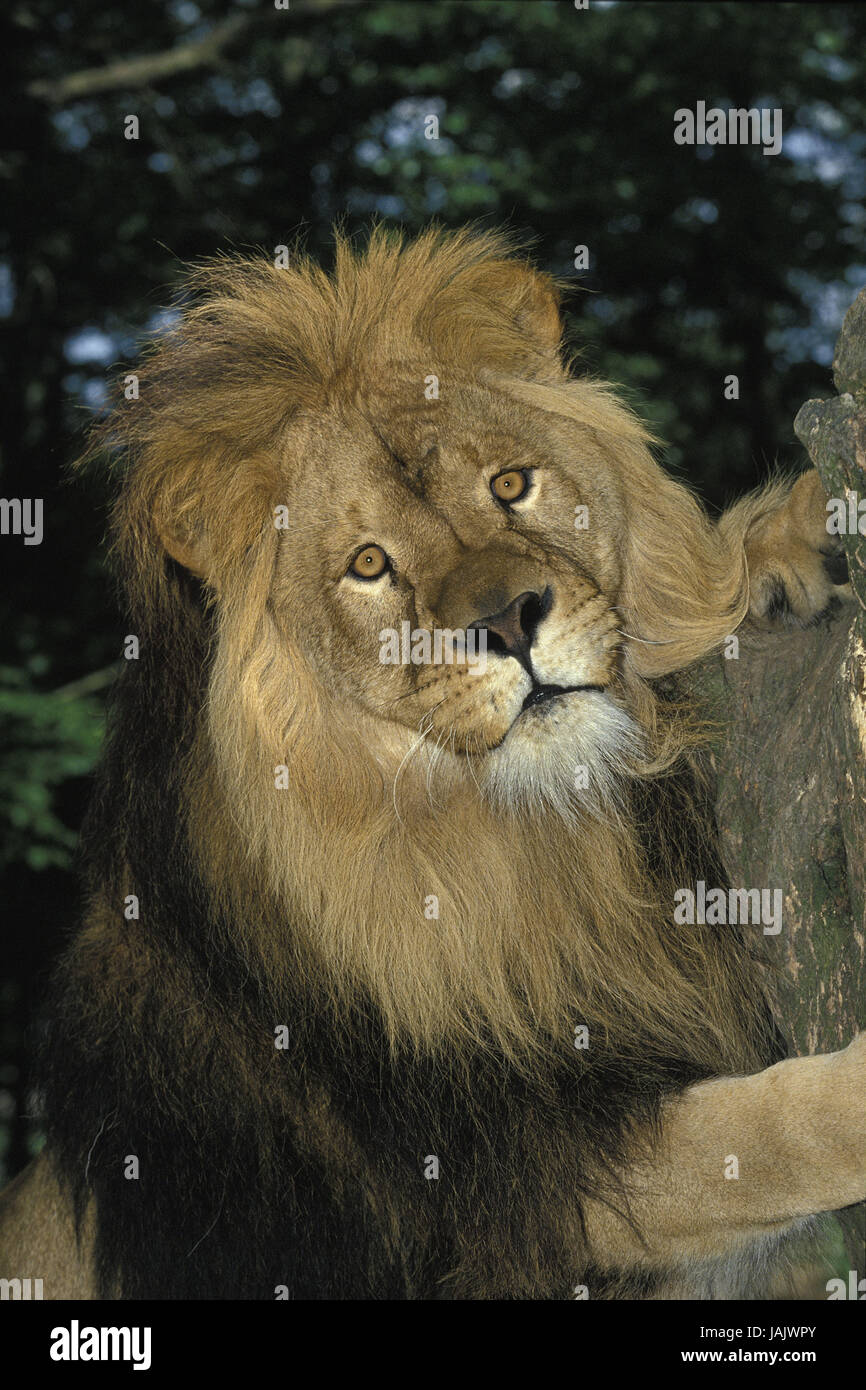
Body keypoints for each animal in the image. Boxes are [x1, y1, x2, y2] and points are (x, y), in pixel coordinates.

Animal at [0, 225, 862, 1300]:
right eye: (369, 566)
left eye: (510, 485)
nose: (507, 622)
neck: (514, 830)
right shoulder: (503, 1177)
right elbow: (766, 1134)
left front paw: (798, 538)